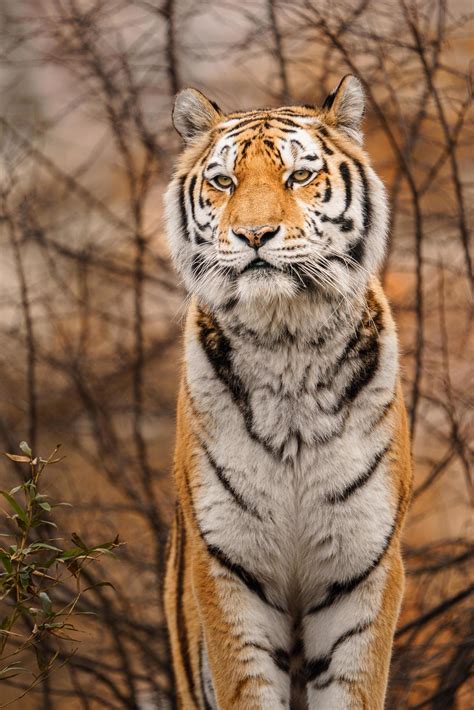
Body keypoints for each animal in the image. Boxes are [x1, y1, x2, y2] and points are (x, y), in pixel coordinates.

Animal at [163, 74, 413, 710]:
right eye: (223, 181)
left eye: (299, 176)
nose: (254, 235)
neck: (288, 344)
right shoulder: (228, 567)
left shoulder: (363, 566)